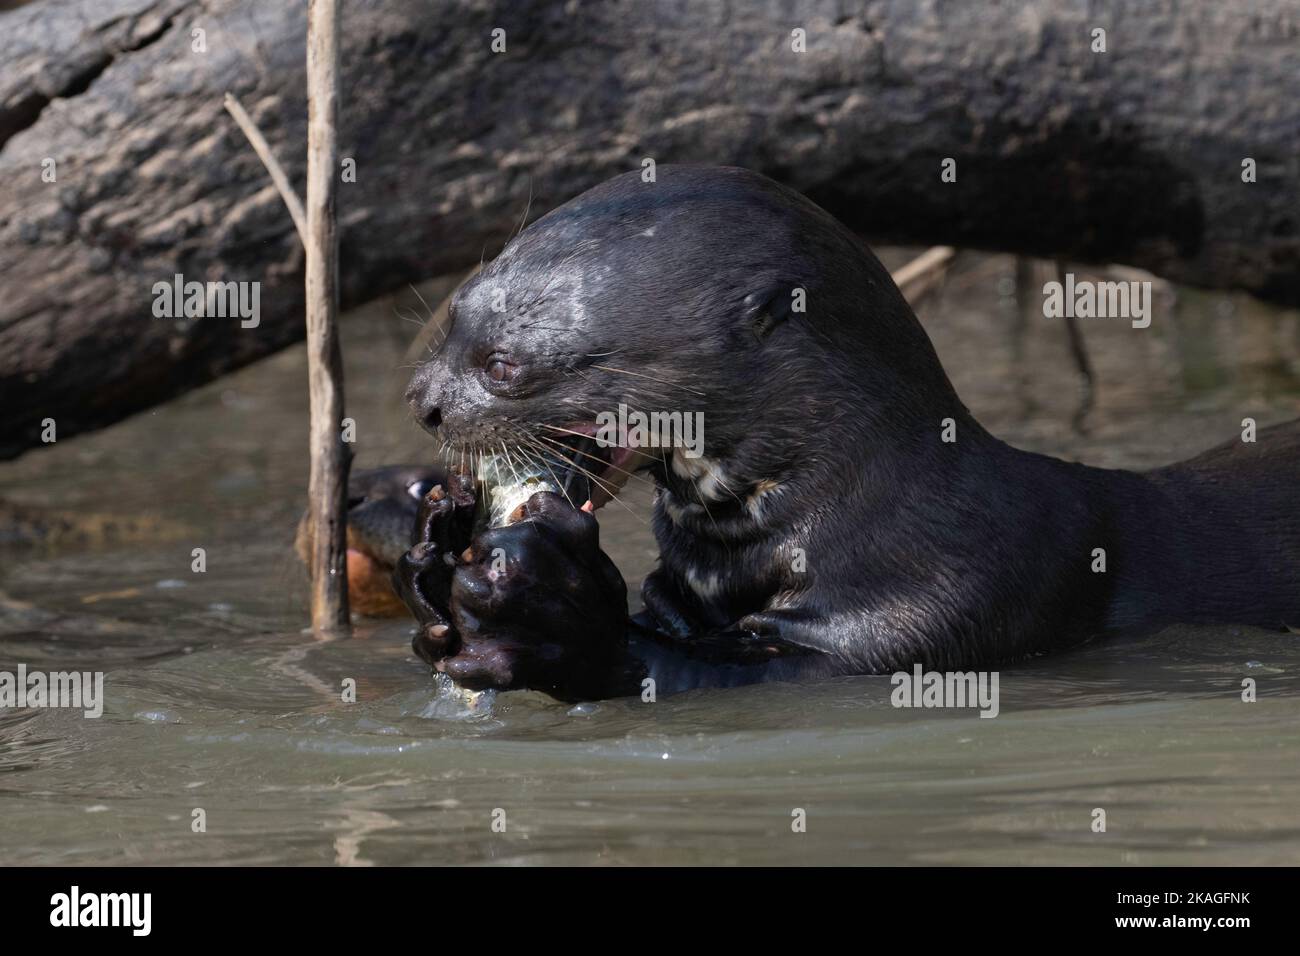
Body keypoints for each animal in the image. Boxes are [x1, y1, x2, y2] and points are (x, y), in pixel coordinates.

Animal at [392, 165, 1300, 701]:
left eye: (503, 364)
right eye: (456, 312)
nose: (419, 400)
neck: (877, 521)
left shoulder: (927, 618)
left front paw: (548, 614)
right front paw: (431, 556)